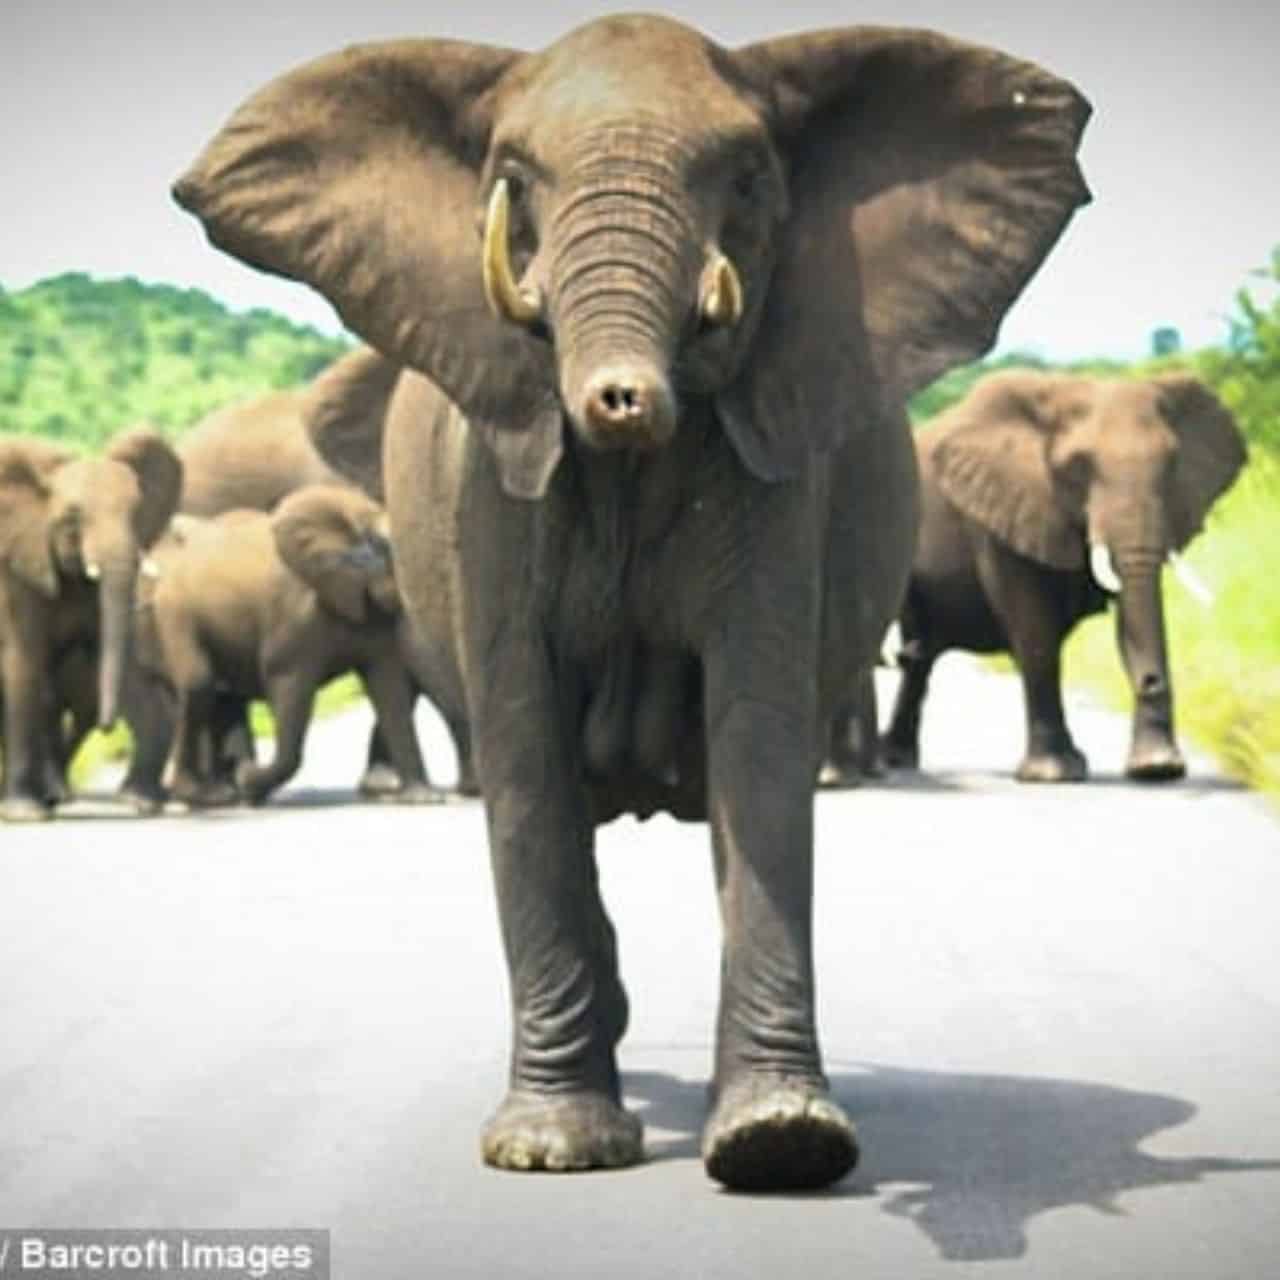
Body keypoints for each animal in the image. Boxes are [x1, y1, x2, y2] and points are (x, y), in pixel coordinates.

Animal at [0, 428, 182, 820]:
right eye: (73, 515)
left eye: (136, 511)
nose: (107, 725)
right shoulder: (16, 576)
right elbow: (23, 667)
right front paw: (25, 813)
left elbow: (122, 664)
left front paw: (142, 801)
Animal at [128, 486, 441, 808]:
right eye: (388, 549)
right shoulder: (295, 616)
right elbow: (287, 682)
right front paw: (249, 782)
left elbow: (389, 687)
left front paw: (424, 798)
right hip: (174, 612)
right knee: (198, 685)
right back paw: (208, 794)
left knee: (223, 696)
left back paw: (223, 791)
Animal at [175, 13, 1090, 1188]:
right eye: (513, 181)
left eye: (745, 178)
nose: (619, 398)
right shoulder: (491, 485)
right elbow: (524, 753)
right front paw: (550, 1148)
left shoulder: (774, 472)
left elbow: (757, 737)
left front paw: (779, 1143)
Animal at [877, 370, 1246, 782]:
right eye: (1078, 467)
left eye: (1172, 463)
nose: (1151, 681)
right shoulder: (998, 508)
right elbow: (1034, 630)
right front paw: (1053, 773)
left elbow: (1130, 620)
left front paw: (1156, 768)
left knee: (919, 657)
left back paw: (895, 758)